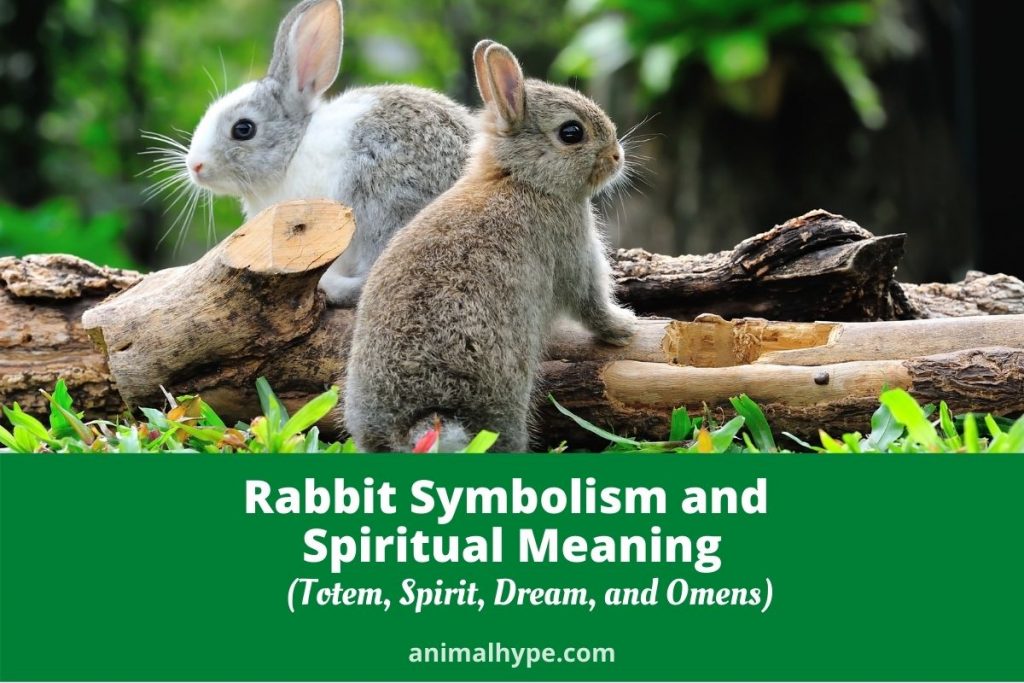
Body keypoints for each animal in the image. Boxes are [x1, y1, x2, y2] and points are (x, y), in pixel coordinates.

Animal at [343, 39, 639, 453]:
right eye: (571, 133)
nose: (616, 156)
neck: (521, 178)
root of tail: (417, 421)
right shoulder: (573, 253)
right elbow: (590, 303)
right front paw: (625, 327)